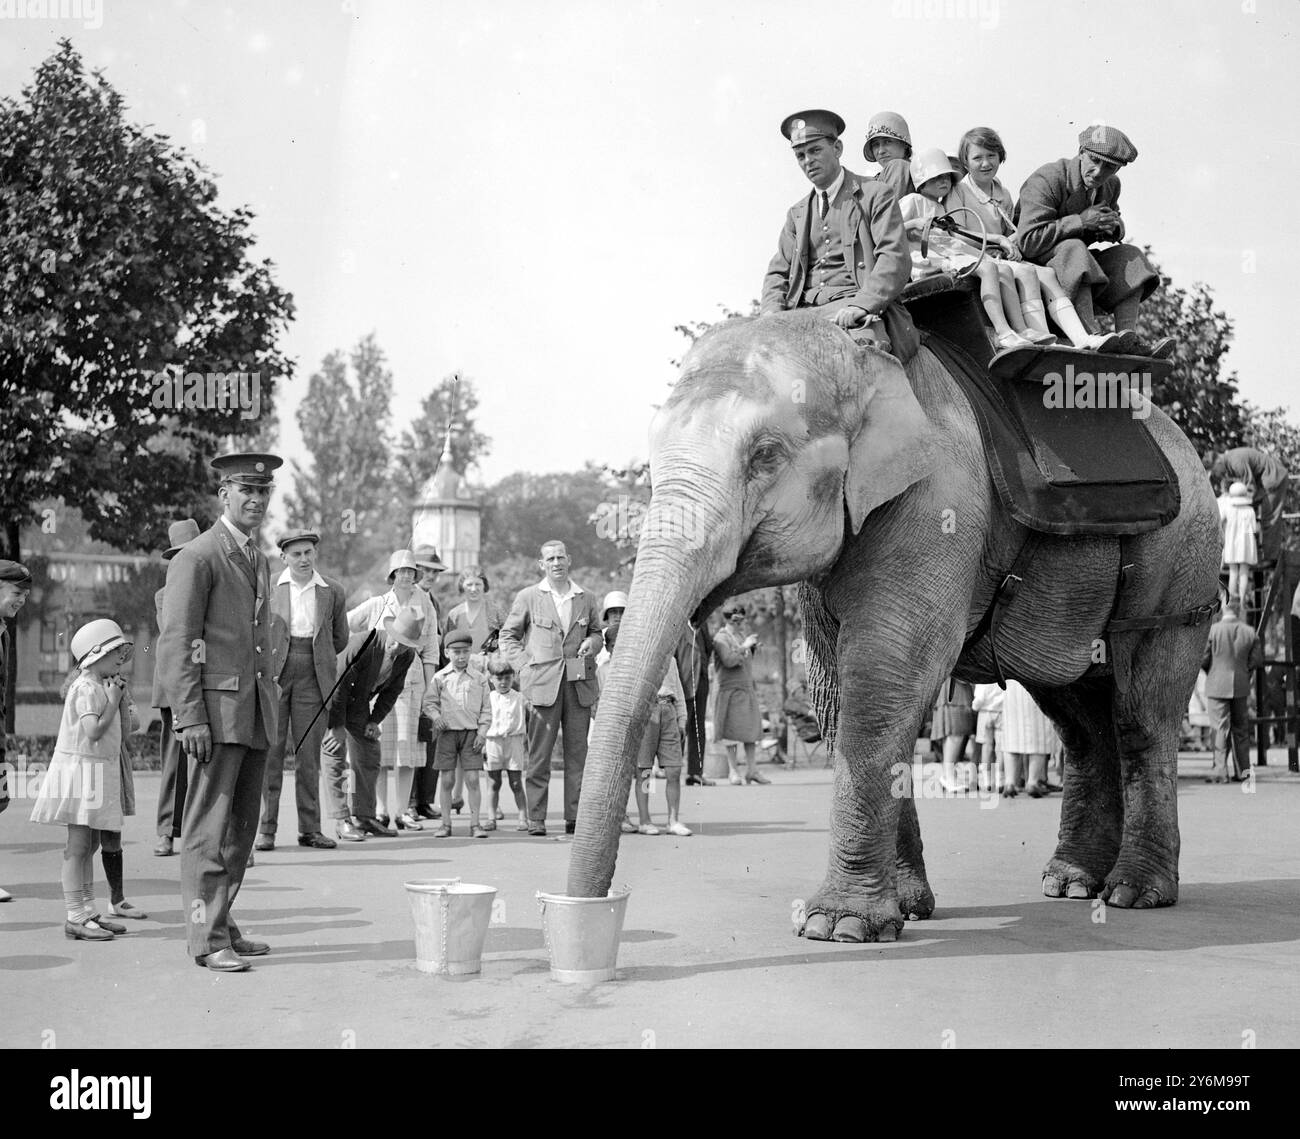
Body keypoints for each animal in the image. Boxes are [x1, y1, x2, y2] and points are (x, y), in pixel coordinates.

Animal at [566, 311, 1222, 943]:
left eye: (766, 456)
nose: (583, 909)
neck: (857, 355)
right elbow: (840, 686)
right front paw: (903, 909)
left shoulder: (939, 500)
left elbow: (887, 671)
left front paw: (837, 927)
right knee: (1078, 714)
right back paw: (1072, 885)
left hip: (1182, 562)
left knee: (1141, 713)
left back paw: (1134, 892)